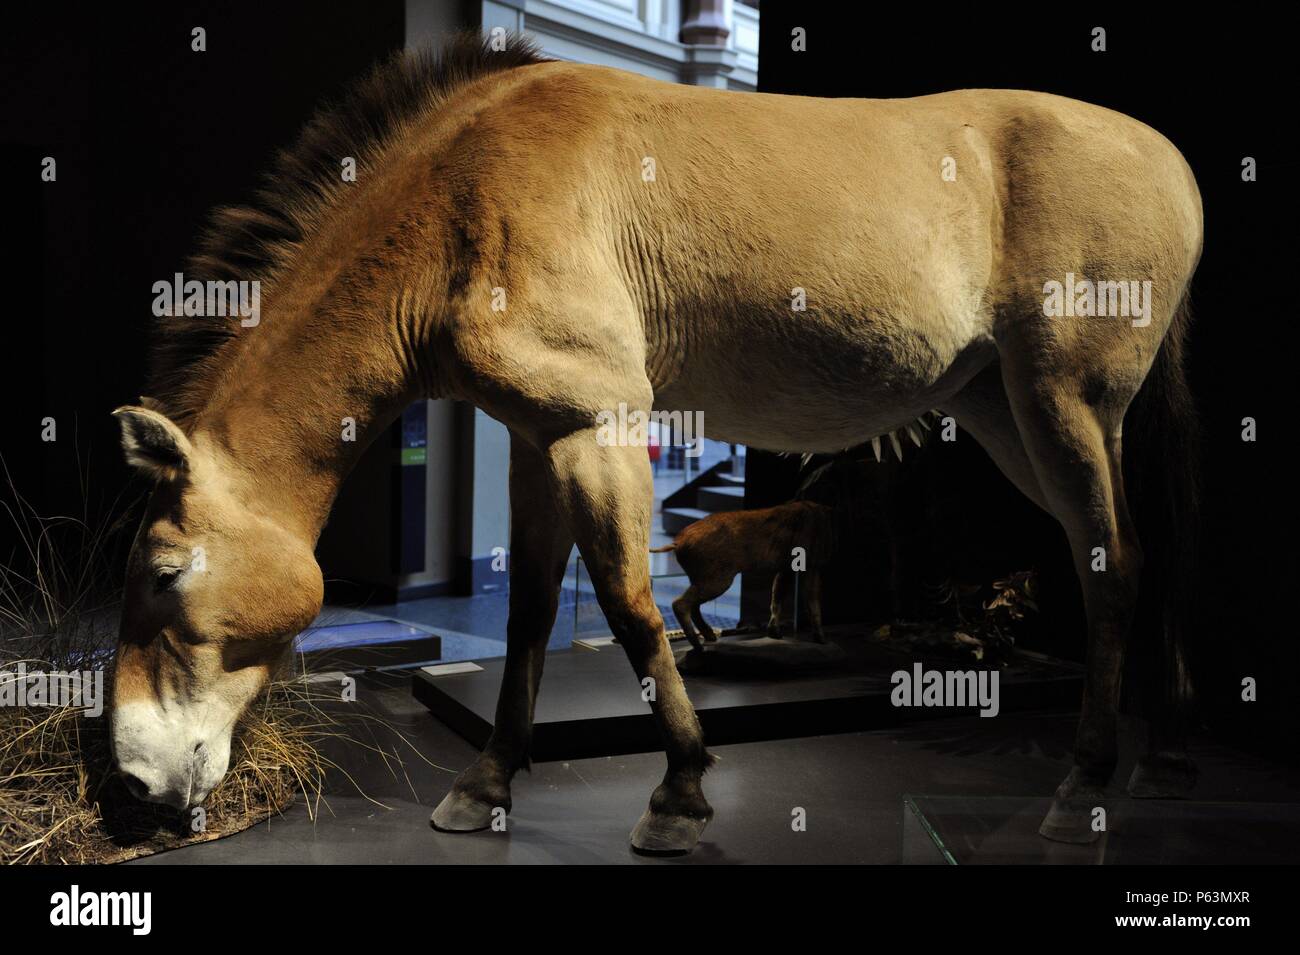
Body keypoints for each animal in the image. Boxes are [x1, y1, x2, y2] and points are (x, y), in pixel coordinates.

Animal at [110, 33, 1202, 854]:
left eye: (162, 572)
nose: (130, 774)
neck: (466, 199)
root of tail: (1173, 162)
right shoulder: (538, 438)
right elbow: (530, 615)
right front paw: (487, 784)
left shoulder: (601, 428)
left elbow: (632, 604)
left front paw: (678, 790)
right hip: (1010, 415)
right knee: (1138, 552)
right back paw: (1162, 748)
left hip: (1061, 404)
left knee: (1111, 565)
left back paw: (1084, 784)